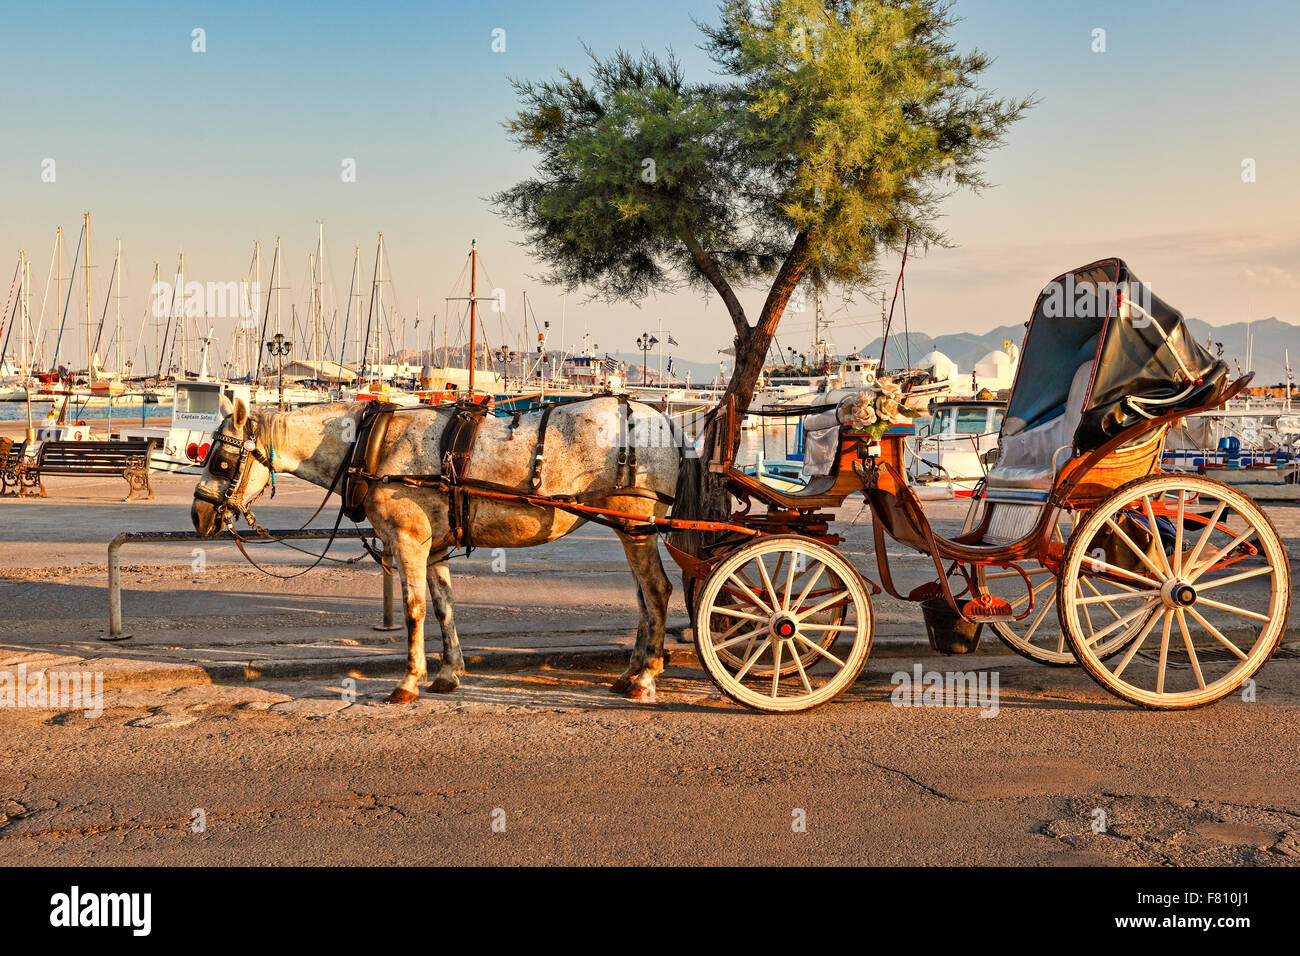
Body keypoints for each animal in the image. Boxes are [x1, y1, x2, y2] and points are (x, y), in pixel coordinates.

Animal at [190, 397, 682, 704]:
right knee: (643, 597)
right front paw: (448, 673)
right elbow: (444, 606)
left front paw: (409, 680)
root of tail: (661, 417)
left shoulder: (408, 540)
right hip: (631, 528)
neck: (370, 443)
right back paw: (631, 671)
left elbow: (414, 610)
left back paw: (645, 678)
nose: (197, 516)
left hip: (635, 525)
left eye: (221, 460)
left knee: (657, 591)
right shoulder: (436, 547)